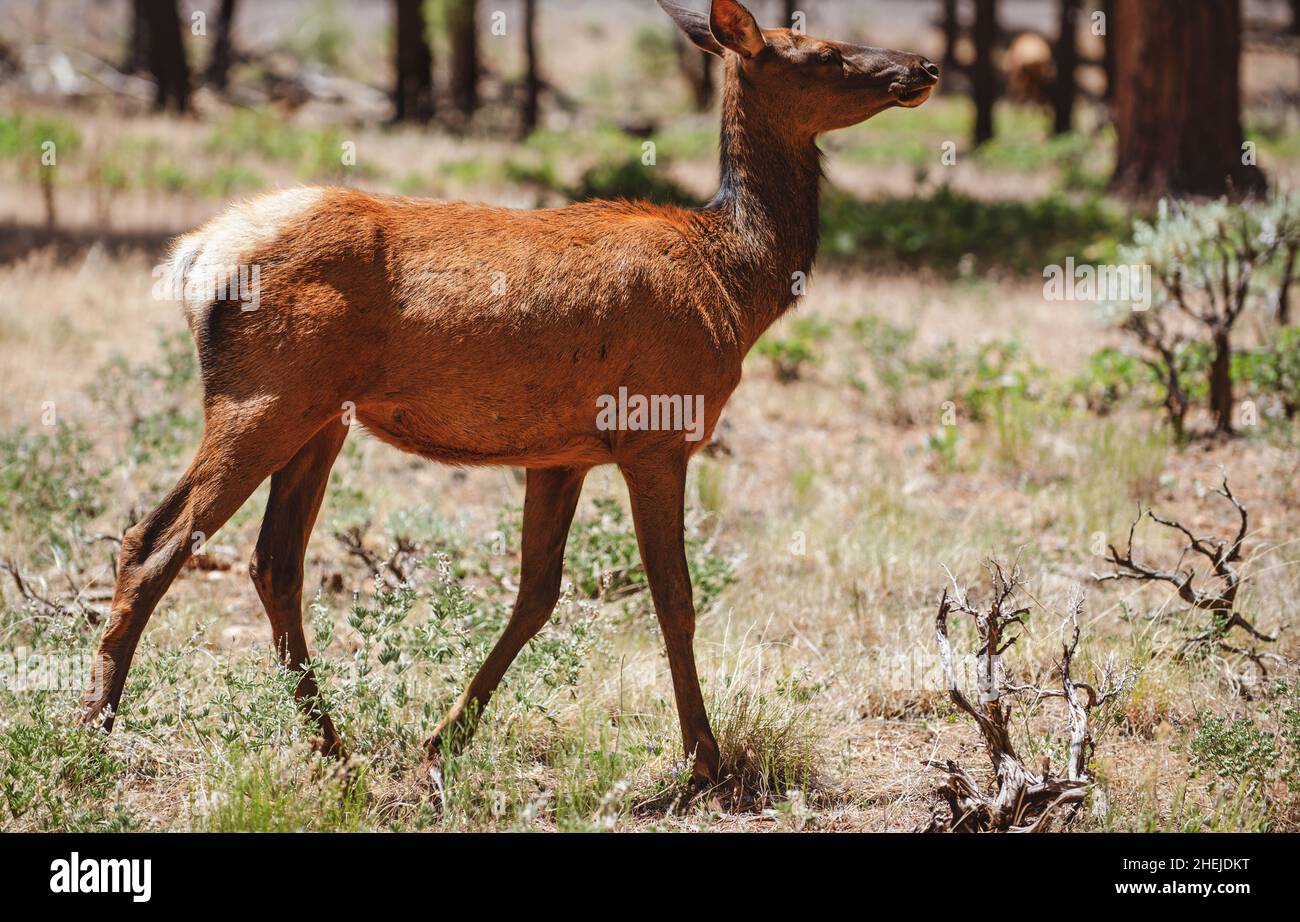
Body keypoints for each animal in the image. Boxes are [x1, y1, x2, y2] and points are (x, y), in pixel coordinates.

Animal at [77, 0, 938, 786]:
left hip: (319, 416)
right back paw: (92, 735)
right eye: (821, 52)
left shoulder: (561, 452)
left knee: (273, 561)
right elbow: (674, 596)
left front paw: (444, 738)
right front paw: (703, 759)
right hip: (263, 397)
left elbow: (537, 592)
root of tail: (197, 258)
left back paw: (331, 745)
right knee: (153, 540)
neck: (734, 288)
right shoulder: (658, 431)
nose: (922, 67)